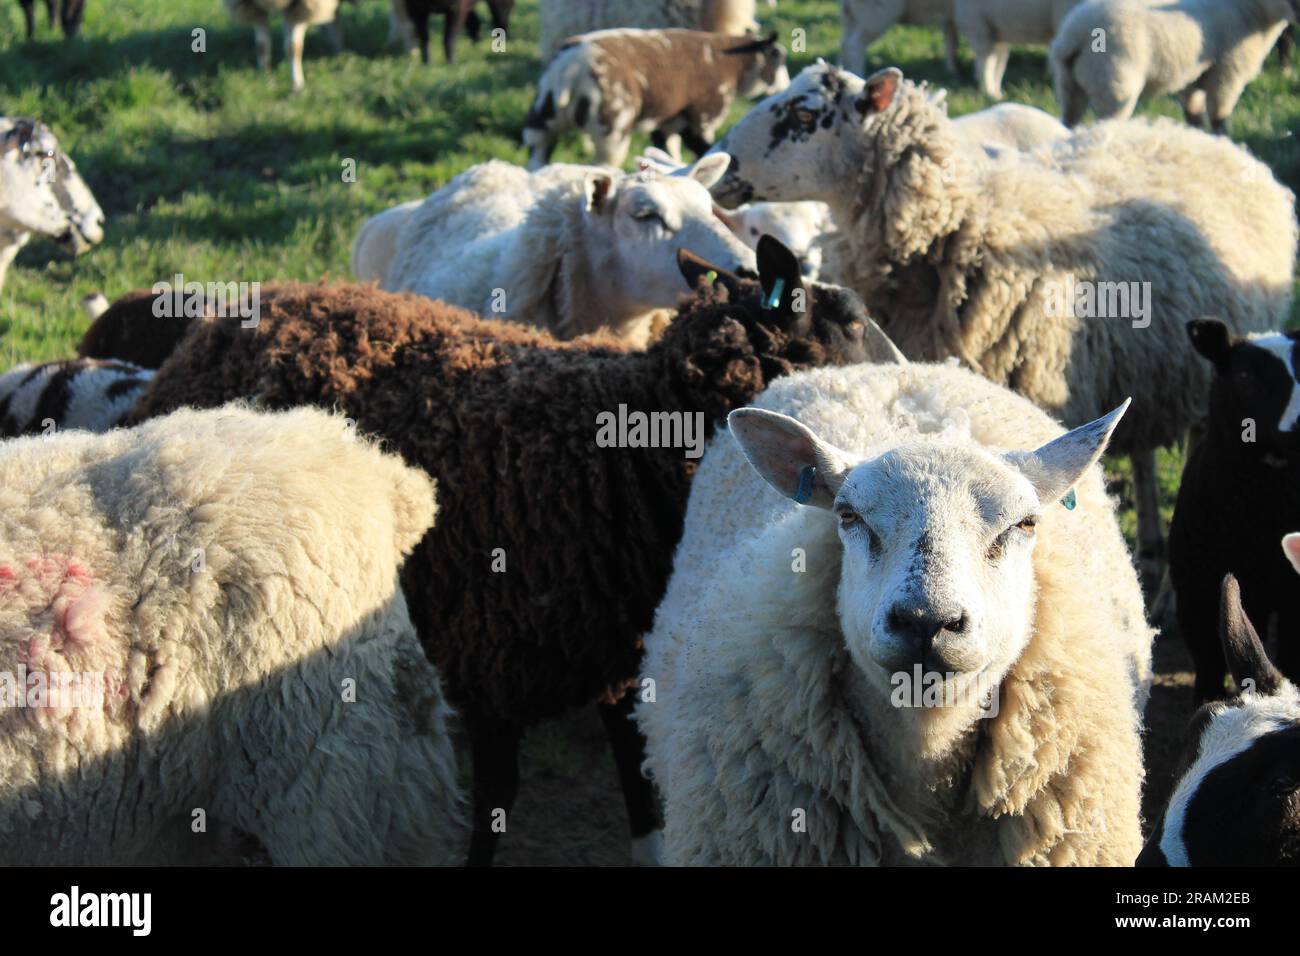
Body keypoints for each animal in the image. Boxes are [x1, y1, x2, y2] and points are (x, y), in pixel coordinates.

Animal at [126, 243, 903, 866]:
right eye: (851, 322)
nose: (922, 371)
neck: (618, 453)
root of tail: (223, 322)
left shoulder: (618, 659)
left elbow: (639, 790)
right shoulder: (491, 662)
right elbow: (497, 803)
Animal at [523, 30, 789, 171]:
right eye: (777, 55)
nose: (786, 85)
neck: (735, 64)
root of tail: (568, 69)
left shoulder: (670, 117)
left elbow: (667, 147)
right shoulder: (702, 115)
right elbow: (702, 147)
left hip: (542, 119)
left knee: (538, 156)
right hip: (611, 128)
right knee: (603, 165)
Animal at [954, 0, 1082, 99]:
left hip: (996, 31)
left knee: (998, 60)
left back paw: (997, 94)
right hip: (980, 25)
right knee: (987, 61)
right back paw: (990, 93)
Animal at [1050, 0, 1298, 133]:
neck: (1250, 10)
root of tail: (1074, 35)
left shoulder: (1193, 78)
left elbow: (1193, 114)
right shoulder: (1227, 73)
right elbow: (1219, 118)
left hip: (1070, 85)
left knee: (1069, 122)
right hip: (1114, 84)